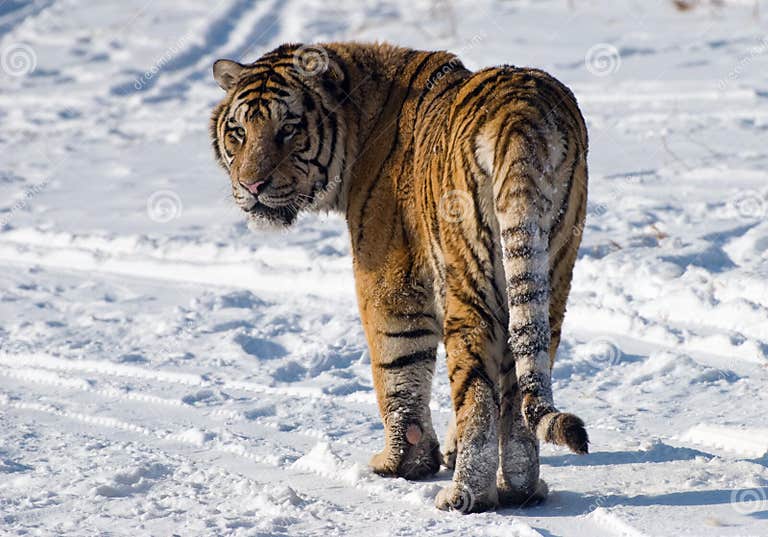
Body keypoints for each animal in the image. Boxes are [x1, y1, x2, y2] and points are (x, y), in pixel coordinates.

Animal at [210, 42, 589, 513]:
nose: (252, 185)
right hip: (550, 271)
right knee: (523, 378)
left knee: (478, 397)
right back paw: (523, 491)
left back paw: (464, 495)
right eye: (238, 132)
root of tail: (521, 113)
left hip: (470, 282)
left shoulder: (389, 277)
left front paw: (401, 462)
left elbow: (396, 366)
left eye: (288, 129)